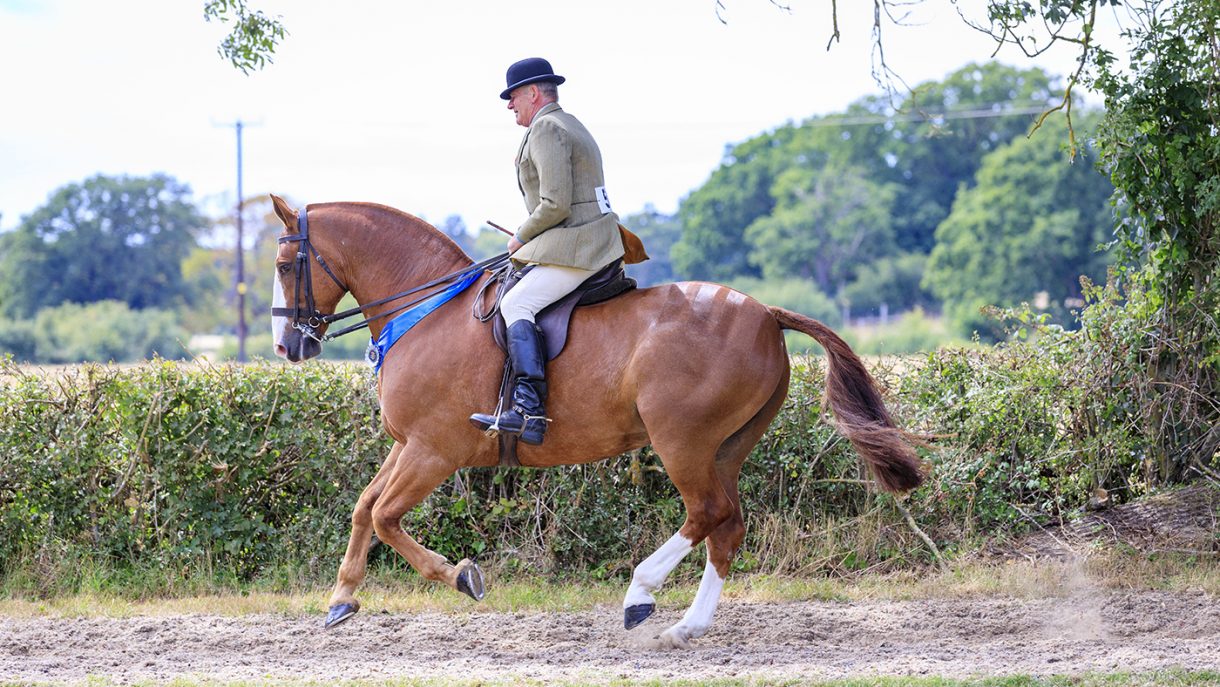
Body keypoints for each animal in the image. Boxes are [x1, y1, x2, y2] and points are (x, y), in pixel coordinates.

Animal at [268, 195, 924, 648]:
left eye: (284, 262)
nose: (287, 347)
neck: (424, 308)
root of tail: (765, 312)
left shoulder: (434, 448)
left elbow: (385, 516)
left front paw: (461, 576)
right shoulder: (408, 444)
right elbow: (364, 507)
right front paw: (341, 599)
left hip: (681, 440)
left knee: (706, 513)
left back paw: (640, 595)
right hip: (727, 446)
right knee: (728, 526)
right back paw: (687, 627)